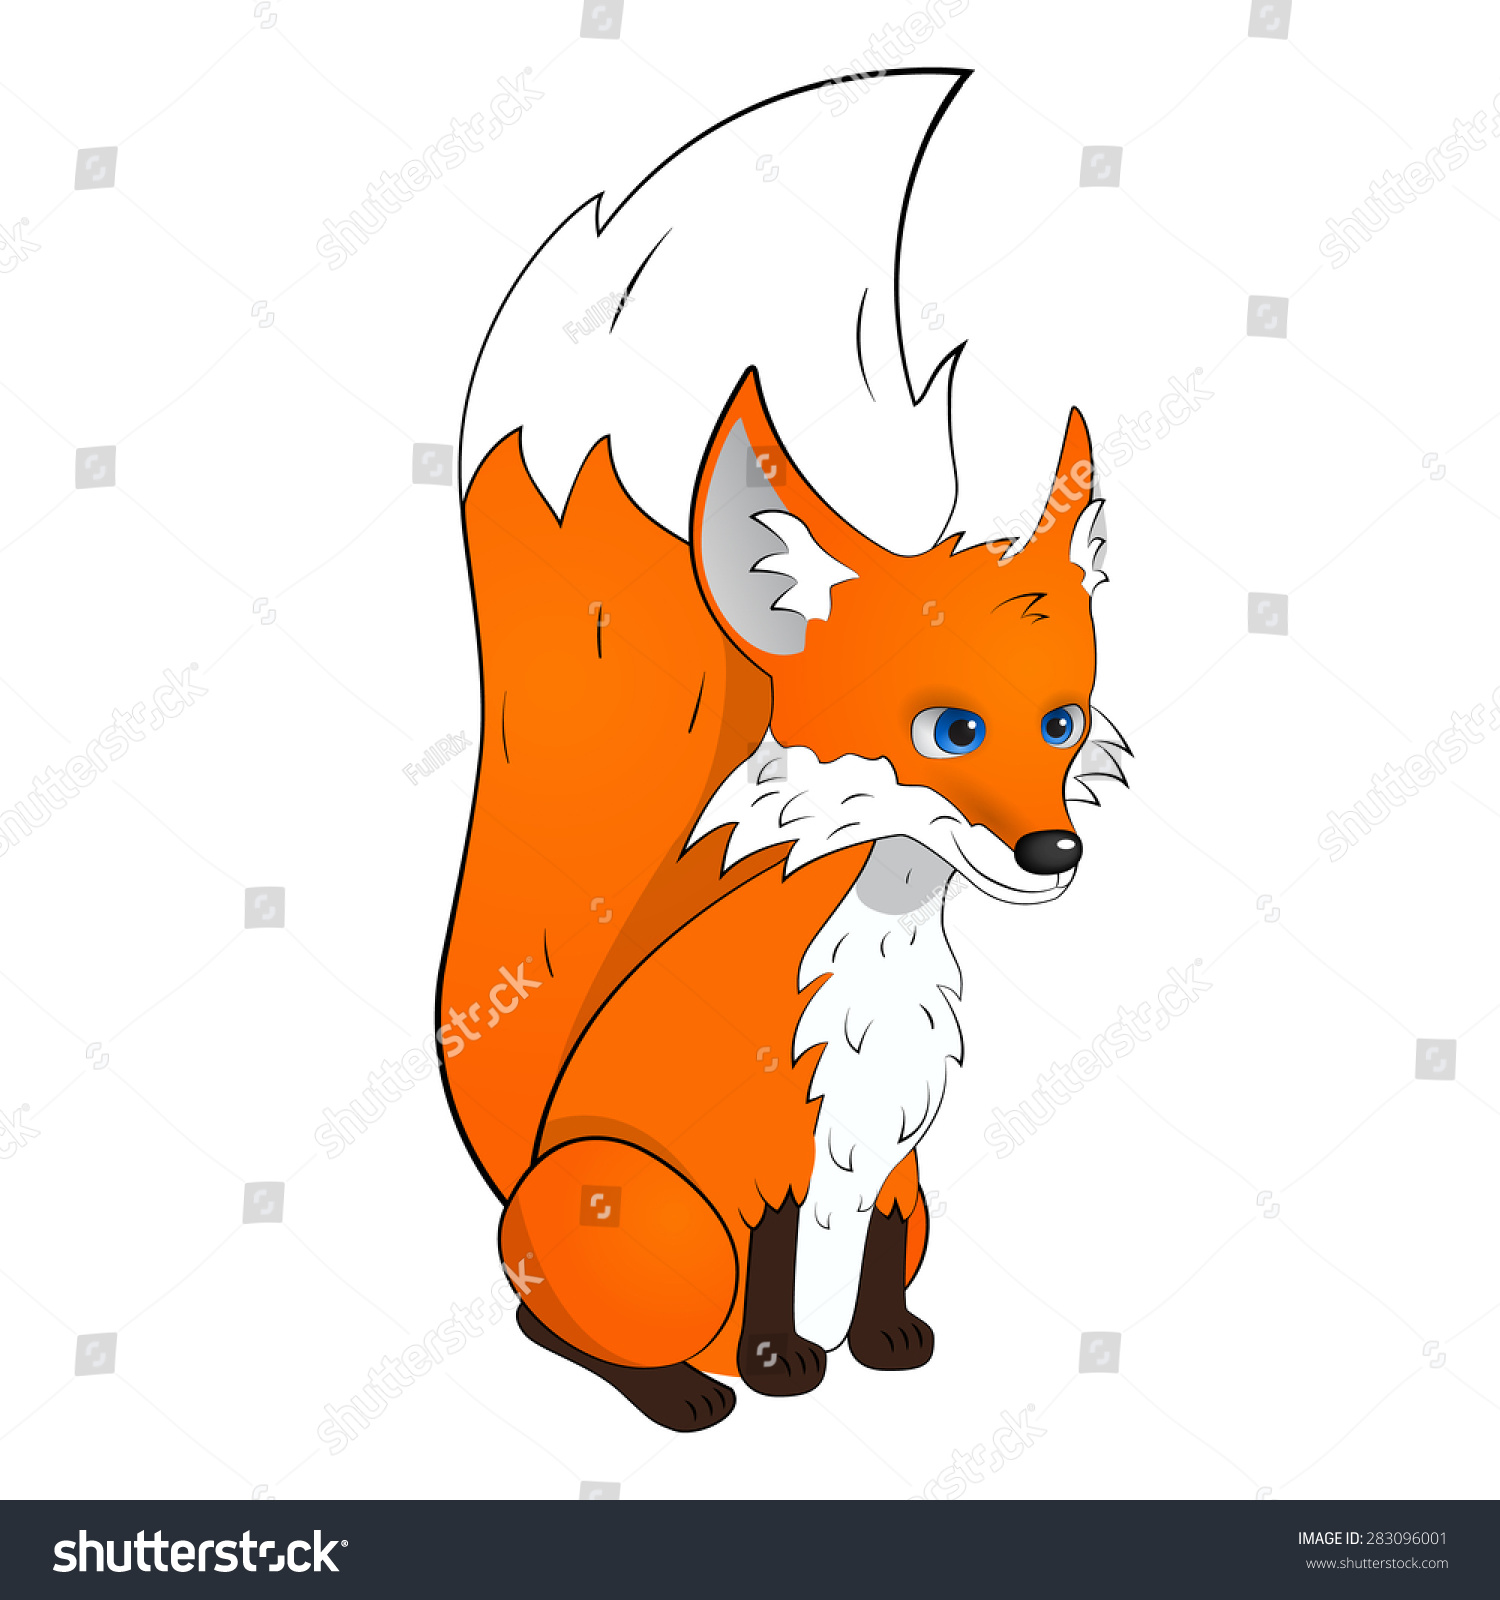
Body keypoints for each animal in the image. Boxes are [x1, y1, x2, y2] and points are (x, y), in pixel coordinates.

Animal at [437, 68, 1129, 1432]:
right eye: (950, 730)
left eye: (1061, 723)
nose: (1054, 851)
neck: (885, 939)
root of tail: (520, 1179)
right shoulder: (757, 1150)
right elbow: (772, 1270)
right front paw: (779, 1371)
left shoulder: (899, 1155)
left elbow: (870, 1259)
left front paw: (883, 1346)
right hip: (645, 1214)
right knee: (557, 1327)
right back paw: (679, 1391)